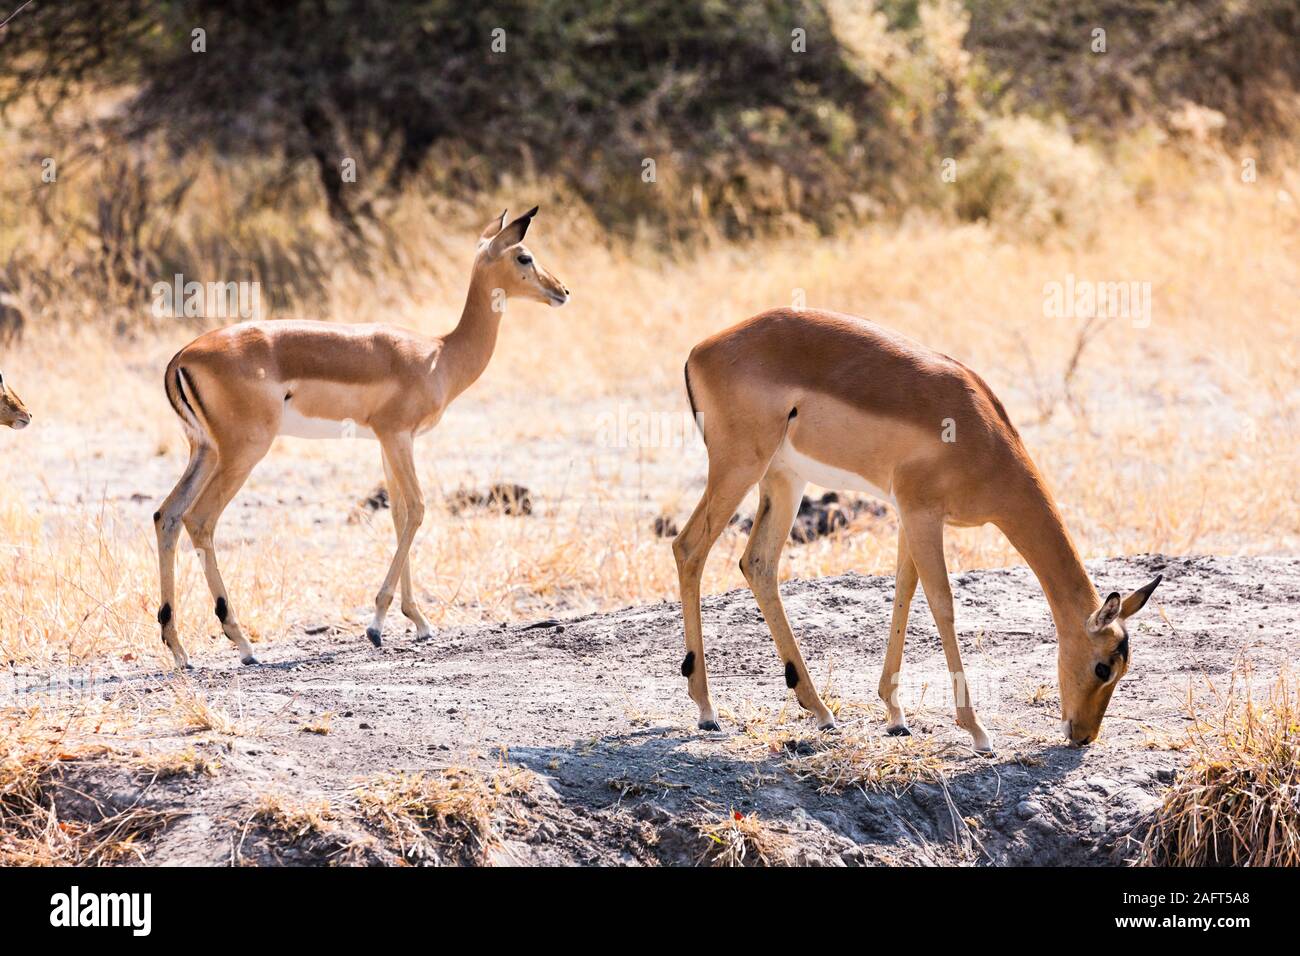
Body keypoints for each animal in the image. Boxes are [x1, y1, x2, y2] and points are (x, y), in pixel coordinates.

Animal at [154, 207, 568, 668]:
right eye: (524, 256)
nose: (562, 291)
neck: (439, 355)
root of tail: (181, 357)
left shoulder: (389, 442)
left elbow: (399, 514)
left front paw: (418, 621)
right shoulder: (398, 435)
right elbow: (417, 509)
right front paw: (376, 626)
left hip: (205, 451)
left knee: (167, 515)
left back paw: (179, 649)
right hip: (243, 452)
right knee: (200, 519)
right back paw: (243, 645)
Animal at [674, 308, 1161, 751]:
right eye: (1103, 667)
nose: (1083, 736)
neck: (980, 434)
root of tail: (701, 350)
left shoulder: (911, 515)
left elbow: (904, 592)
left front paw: (895, 715)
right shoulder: (922, 513)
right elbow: (943, 604)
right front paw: (977, 731)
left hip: (784, 480)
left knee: (757, 563)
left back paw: (821, 711)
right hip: (739, 468)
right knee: (687, 547)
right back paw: (707, 711)